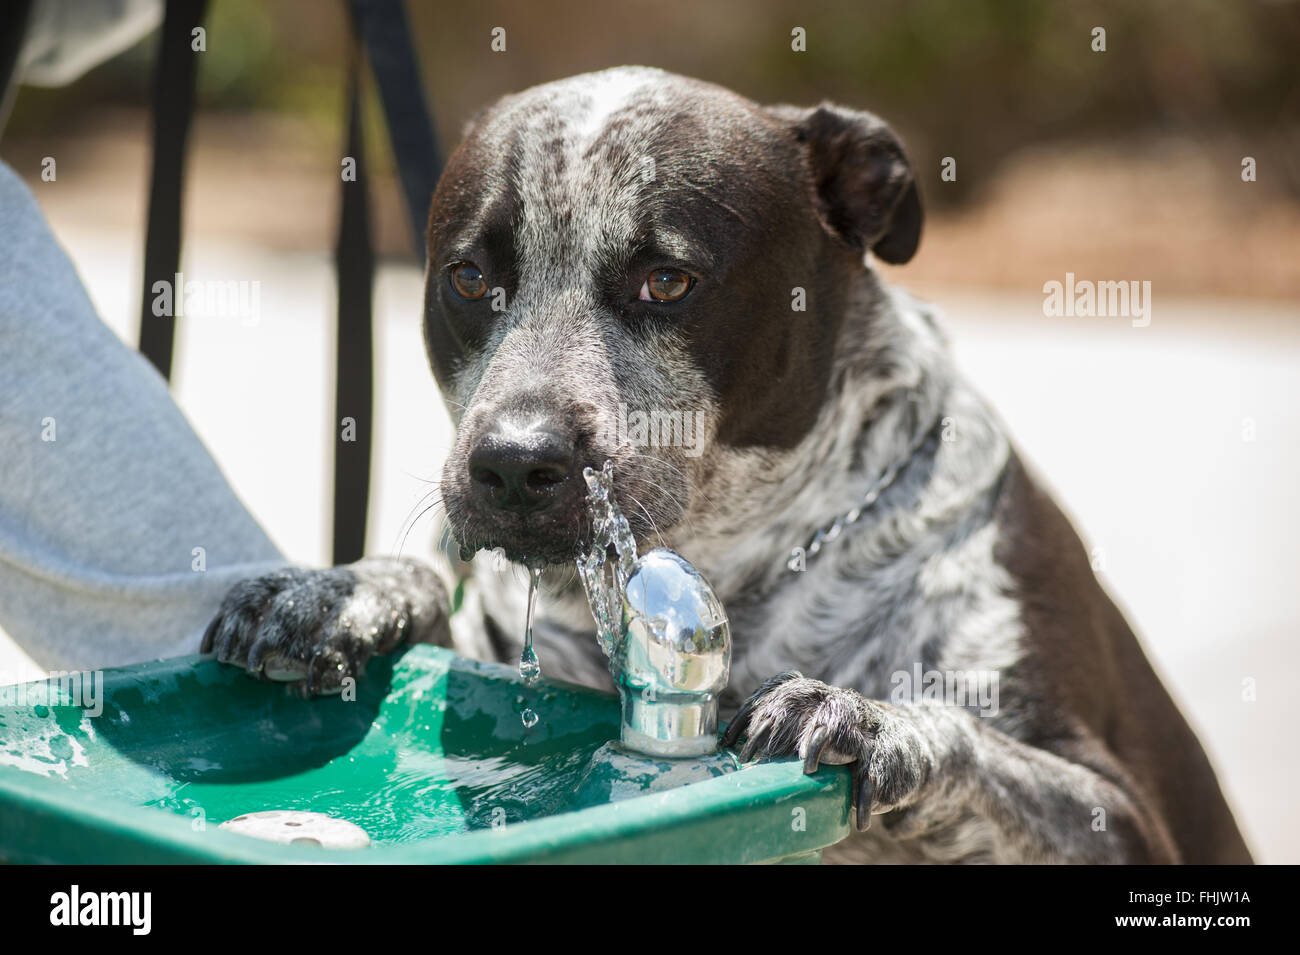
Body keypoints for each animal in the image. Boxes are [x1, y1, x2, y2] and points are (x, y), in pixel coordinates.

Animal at [200, 63, 1248, 862]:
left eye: (668, 281)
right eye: (469, 278)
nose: (512, 463)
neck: (744, 565)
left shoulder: (1117, 812)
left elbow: (970, 741)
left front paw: (872, 715)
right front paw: (338, 590)